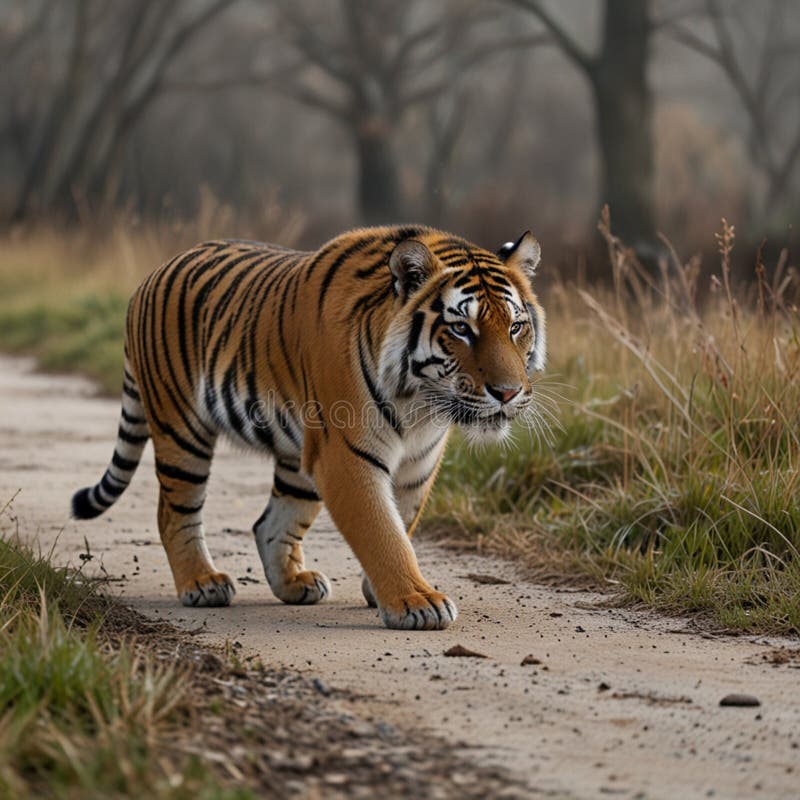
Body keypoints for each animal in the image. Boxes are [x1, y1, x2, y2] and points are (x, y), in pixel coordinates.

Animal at [71, 226, 546, 630]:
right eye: (461, 329)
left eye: (515, 327)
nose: (507, 393)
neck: (421, 403)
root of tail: (150, 276)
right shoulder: (347, 456)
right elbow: (382, 531)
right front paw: (415, 601)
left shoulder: (419, 462)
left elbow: (404, 521)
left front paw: (384, 591)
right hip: (182, 429)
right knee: (173, 511)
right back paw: (201, 583)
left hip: (300, 452)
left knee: (269, 523)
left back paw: (293, 584)